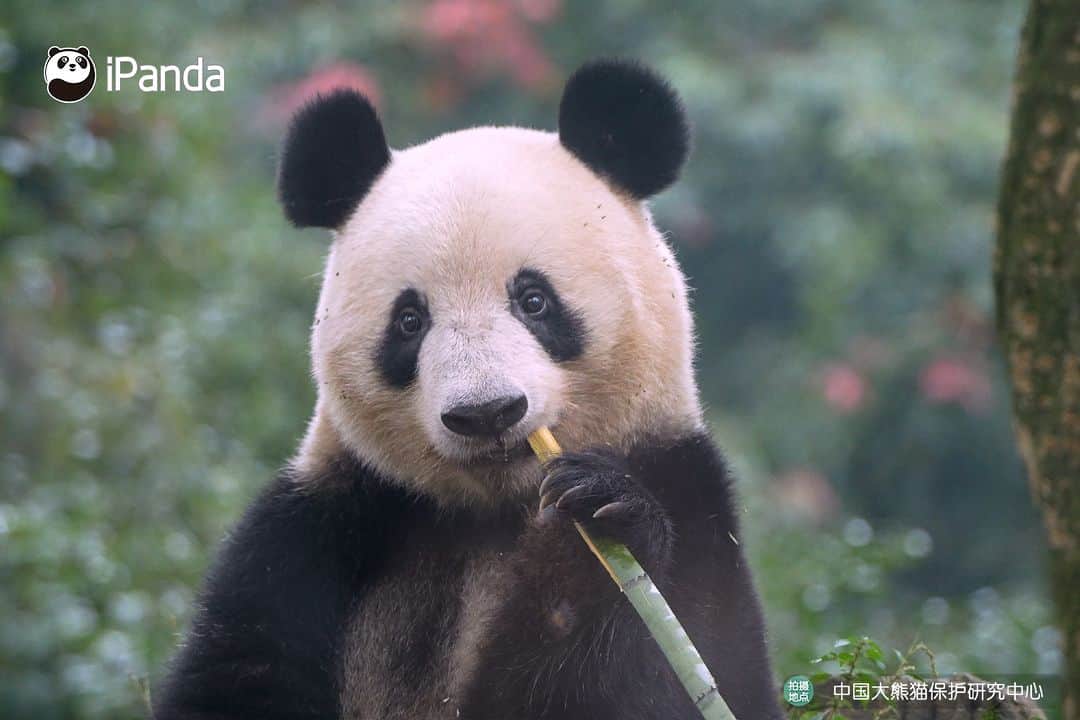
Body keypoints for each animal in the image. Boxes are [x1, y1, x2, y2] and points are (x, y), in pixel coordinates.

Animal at [154, 59, 783, 720]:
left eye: (533, 300)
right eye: (410, 320)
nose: (486, 413)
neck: (490, 511)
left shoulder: (688, 497)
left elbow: (670, 665)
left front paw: (601, 508)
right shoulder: (320, 531)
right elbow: (239, 673)